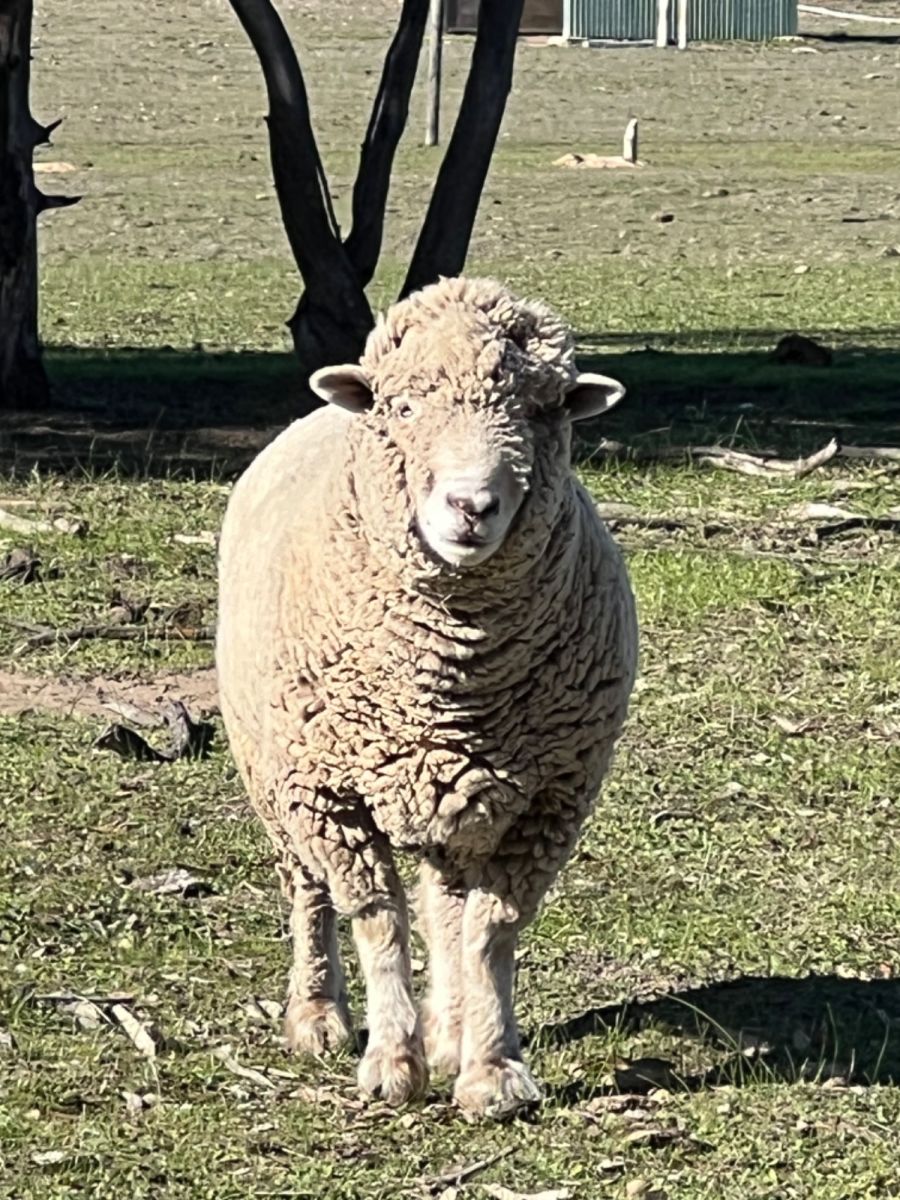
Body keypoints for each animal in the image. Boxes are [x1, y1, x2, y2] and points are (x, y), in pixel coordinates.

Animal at [216, 276, 638, 1120]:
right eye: (404, 408)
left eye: (543, 410)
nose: (471, 506)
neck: (451, 679)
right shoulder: (328, 794)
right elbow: (378, 917)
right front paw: (392, 1062)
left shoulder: (552, 796)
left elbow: (491, 928)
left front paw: (490, 1068)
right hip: (271, 773)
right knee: (306, 890)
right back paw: (318, 1015)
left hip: (458, 788)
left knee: (447, 899)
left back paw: (450, 1028)